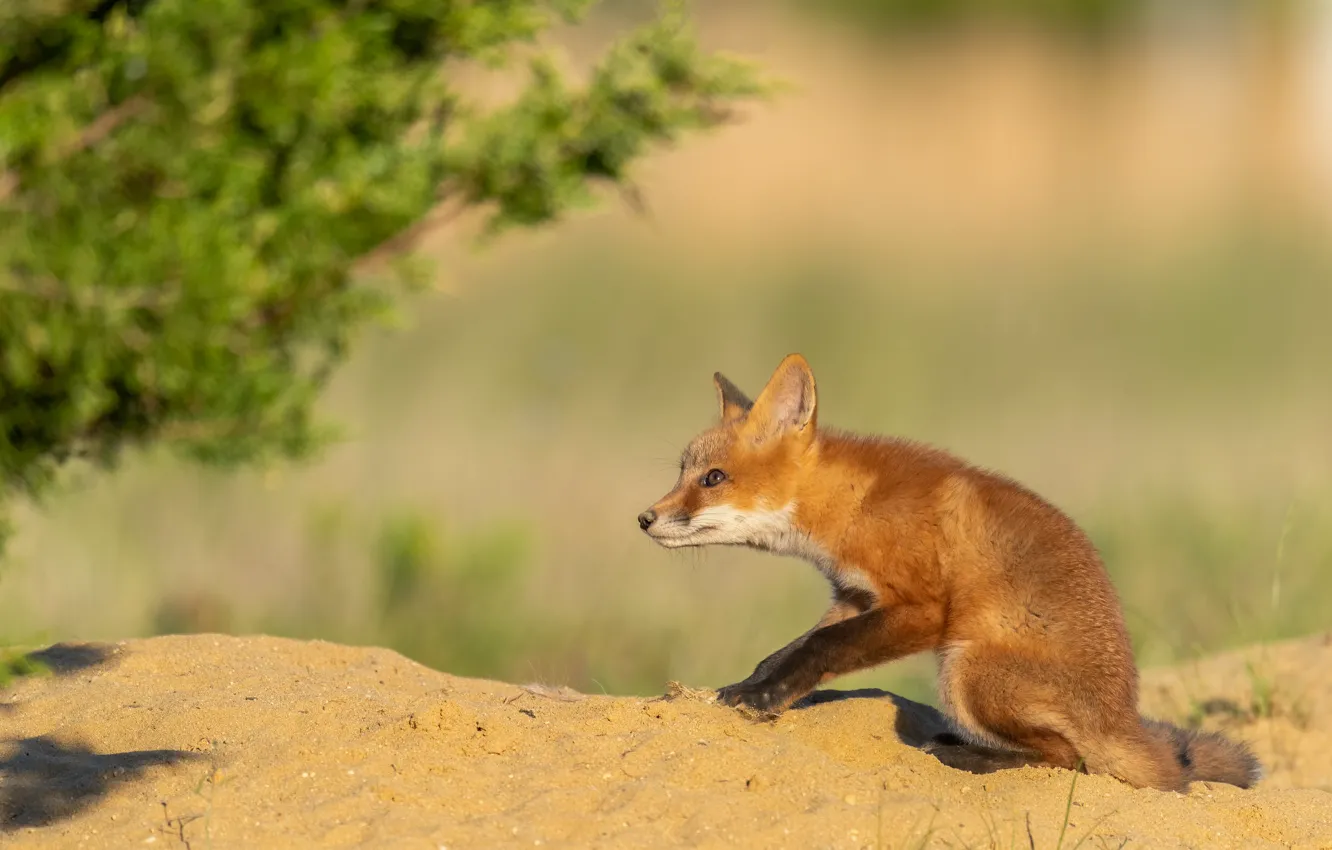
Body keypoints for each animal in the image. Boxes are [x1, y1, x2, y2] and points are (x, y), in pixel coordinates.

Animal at [636, 353, 1261, 793]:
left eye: (713, 478)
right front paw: (750, 688)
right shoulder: (854, 596)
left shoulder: (921, 608)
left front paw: (764, 699)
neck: (853, 503)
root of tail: (1124, 720)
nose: (645, 518)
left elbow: (823, 649)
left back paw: (964, 754)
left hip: (967, 669)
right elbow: (790, 650)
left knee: (1071, 759)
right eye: (682, 473)